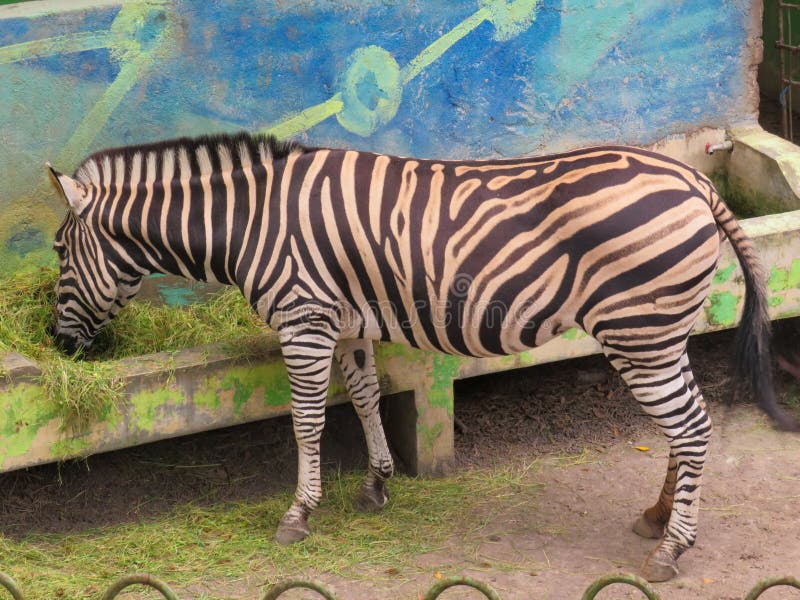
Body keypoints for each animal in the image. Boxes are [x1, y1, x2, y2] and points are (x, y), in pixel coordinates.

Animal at [46, 131, 798, 582]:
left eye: (56, 251)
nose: (55, 344)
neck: (254, 221)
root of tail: (697, 182)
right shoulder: (346, 321)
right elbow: (367, 398)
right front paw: (377, 481)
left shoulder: (304, 318)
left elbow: (308, 422)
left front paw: (298, 514)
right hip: (660, 331)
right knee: (683, 427)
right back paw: (657, 518)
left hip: (638, 329)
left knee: (691, 428)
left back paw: (674, 547)